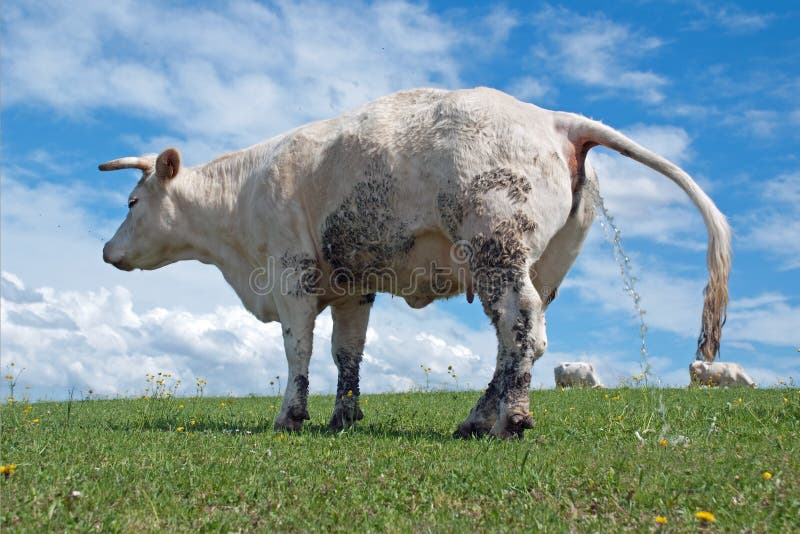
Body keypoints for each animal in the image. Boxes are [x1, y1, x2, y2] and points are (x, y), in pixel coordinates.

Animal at [100, 87, 731, 439]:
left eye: (131, 202)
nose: (106, 252)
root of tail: (554, 118)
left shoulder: (290, 273)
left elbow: (298, 348)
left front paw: (290, 416)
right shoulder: (352, 285)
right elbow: (347, 352)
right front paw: (343, 417)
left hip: (498, 247)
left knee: (521, 328)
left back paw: (511, 421)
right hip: (543, 263)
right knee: (515, 340)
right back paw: (476, 420)